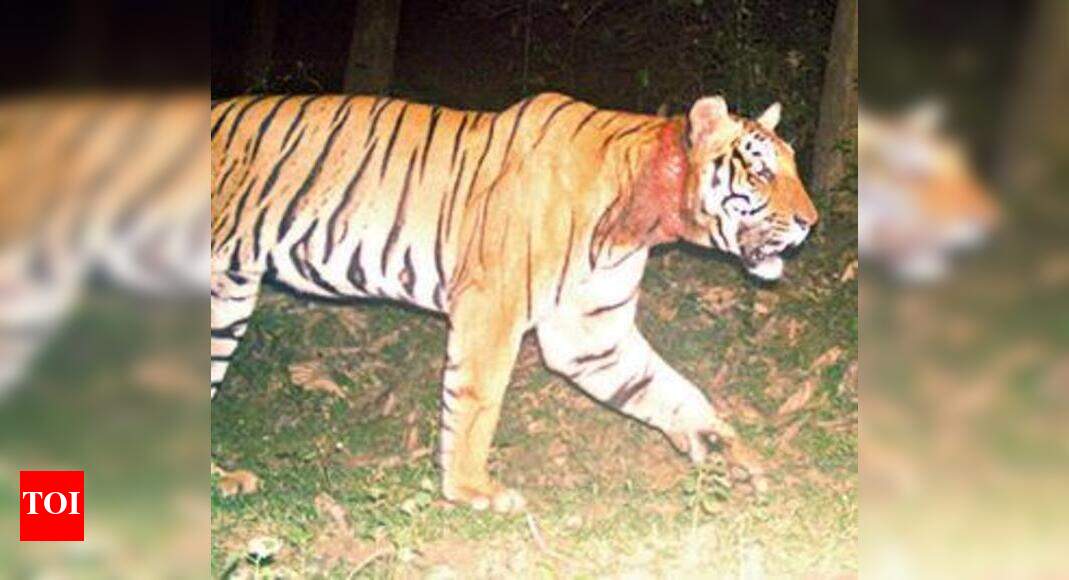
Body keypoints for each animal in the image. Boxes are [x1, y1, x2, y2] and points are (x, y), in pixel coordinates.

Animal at [211, 92, 818, 512]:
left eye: (791, 166)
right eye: (761, 171)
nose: (812, 222)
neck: (640, 222)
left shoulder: (592, 335)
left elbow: (666, 387)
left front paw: (723, 446)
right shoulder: (491, 307)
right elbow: (476, 401)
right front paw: (471, 489)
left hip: (227, 295)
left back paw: (221, 481)